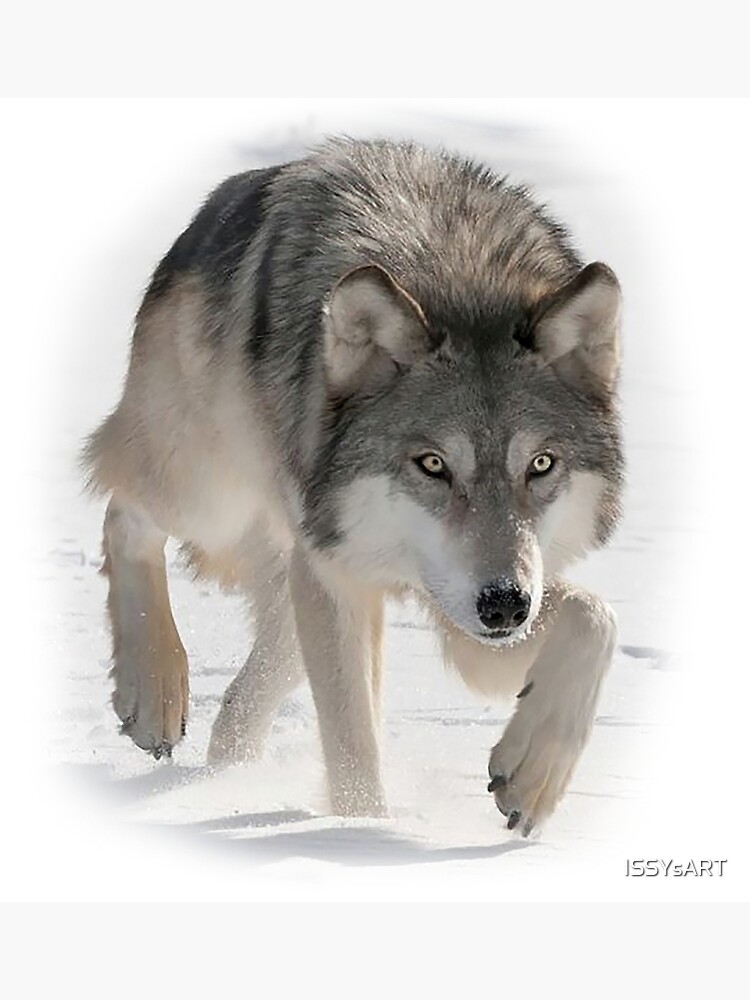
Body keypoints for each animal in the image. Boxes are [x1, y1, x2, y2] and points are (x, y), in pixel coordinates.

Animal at [82, 137, 623, 835]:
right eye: (432, 464)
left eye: (541, 464)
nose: (504, 605)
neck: (459, 276)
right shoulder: (346, 575)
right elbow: (351, 742)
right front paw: (361, 832)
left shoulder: (465, 608)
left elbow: (595, 617)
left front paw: (533, 777)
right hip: (212, 497)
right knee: (124, 513)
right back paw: (154, 695)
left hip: (303, 567)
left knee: (258, 679)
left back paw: (226, 774)